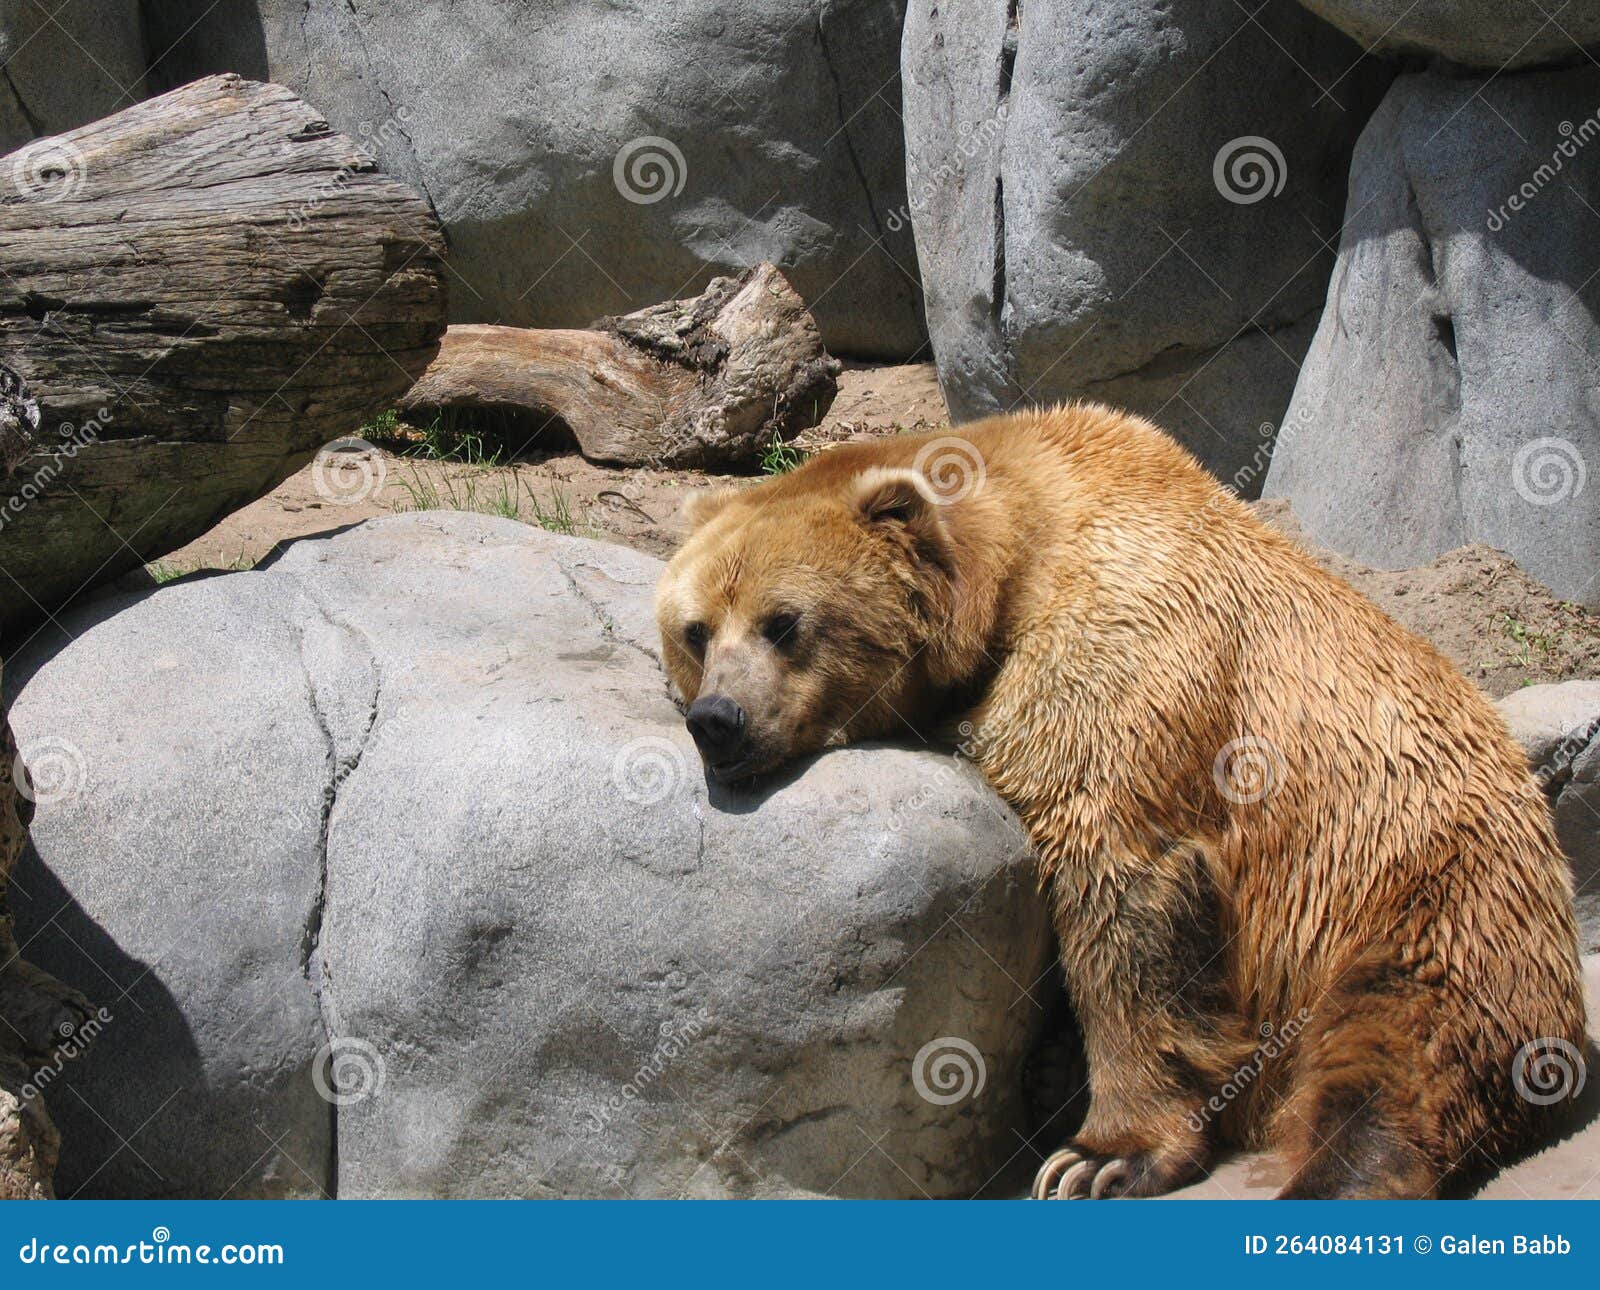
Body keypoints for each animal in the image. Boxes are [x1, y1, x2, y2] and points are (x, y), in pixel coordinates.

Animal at [654, 402, 1590, 1199]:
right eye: (696, 630)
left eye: (784, 622)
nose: (719, 721)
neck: (1010, 571)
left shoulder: (1132, 652)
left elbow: (1123, 896)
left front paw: (1098, 1156)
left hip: (1417, 881)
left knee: (1405, 1032)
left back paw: (1336, 1171)